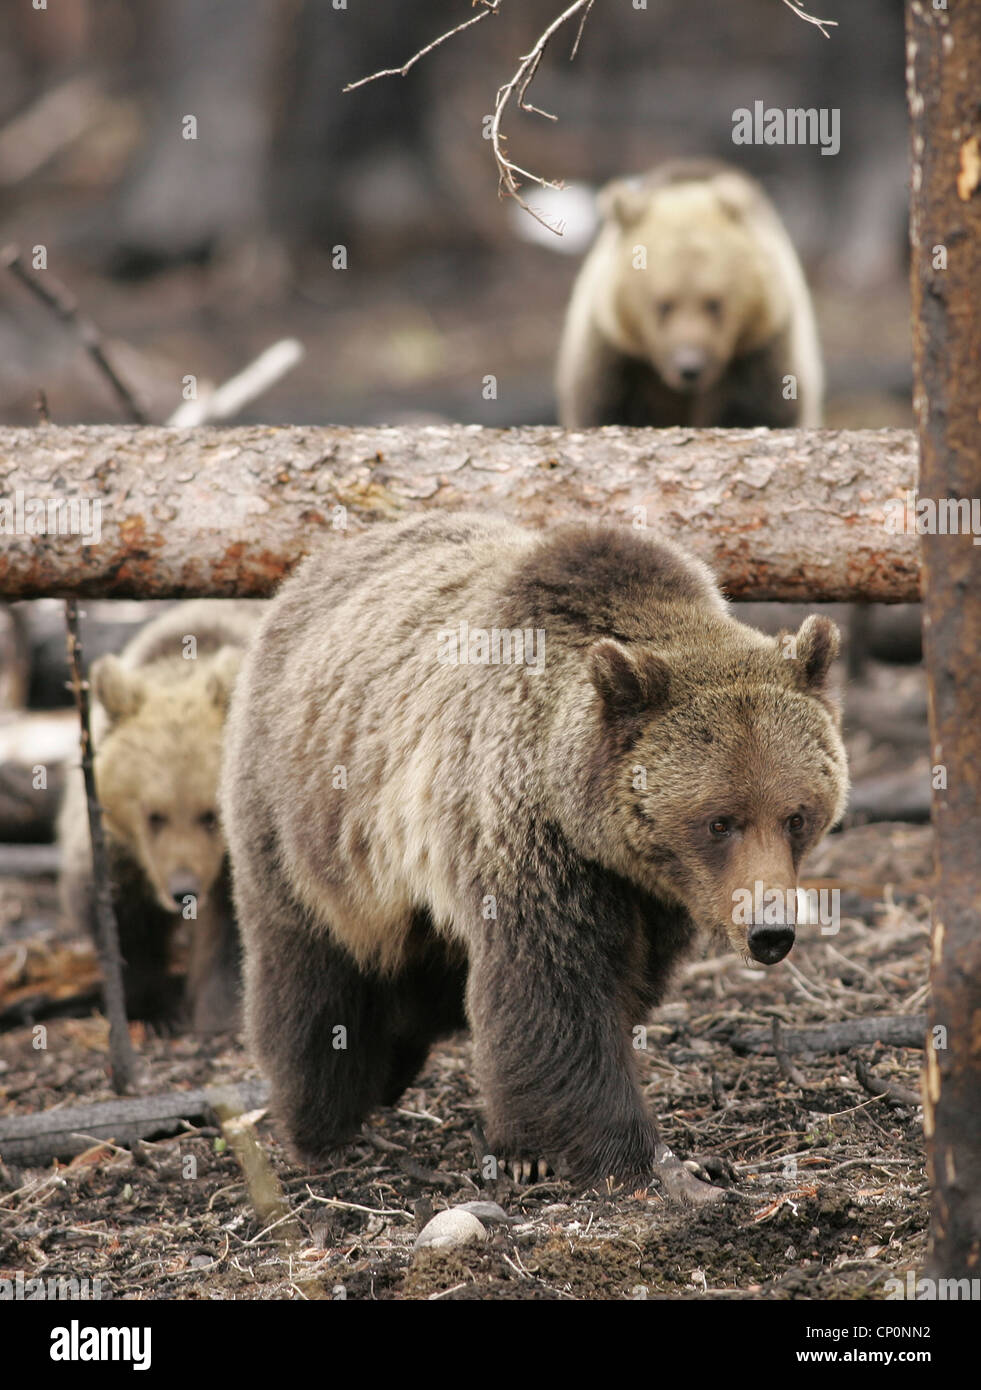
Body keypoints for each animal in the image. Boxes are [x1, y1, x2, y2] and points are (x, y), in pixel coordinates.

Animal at [58, 600, 260, 1032]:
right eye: (154, 815)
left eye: (210, 815)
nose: (184, 890)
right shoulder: (115, 844)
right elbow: (122, 920)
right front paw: (154, 1010)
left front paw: (218, 1014)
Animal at [220, 513, 848, 1189]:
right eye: (720, 822)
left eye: (796, 816)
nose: (770, 931)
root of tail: (304, 576)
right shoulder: (529, 843)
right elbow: (554, 997)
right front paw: (626, 1155)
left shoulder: (655, 895)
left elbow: (613, 990)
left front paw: (532, 1141)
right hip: (305, 823)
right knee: (311, 971)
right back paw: (324, 1124)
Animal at [555, 159, 823, 429]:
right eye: (663, 305)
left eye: (714, 303)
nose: (690, 368)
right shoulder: (615, 350)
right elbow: (605, 404)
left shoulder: (762, 344)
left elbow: (763, 407)